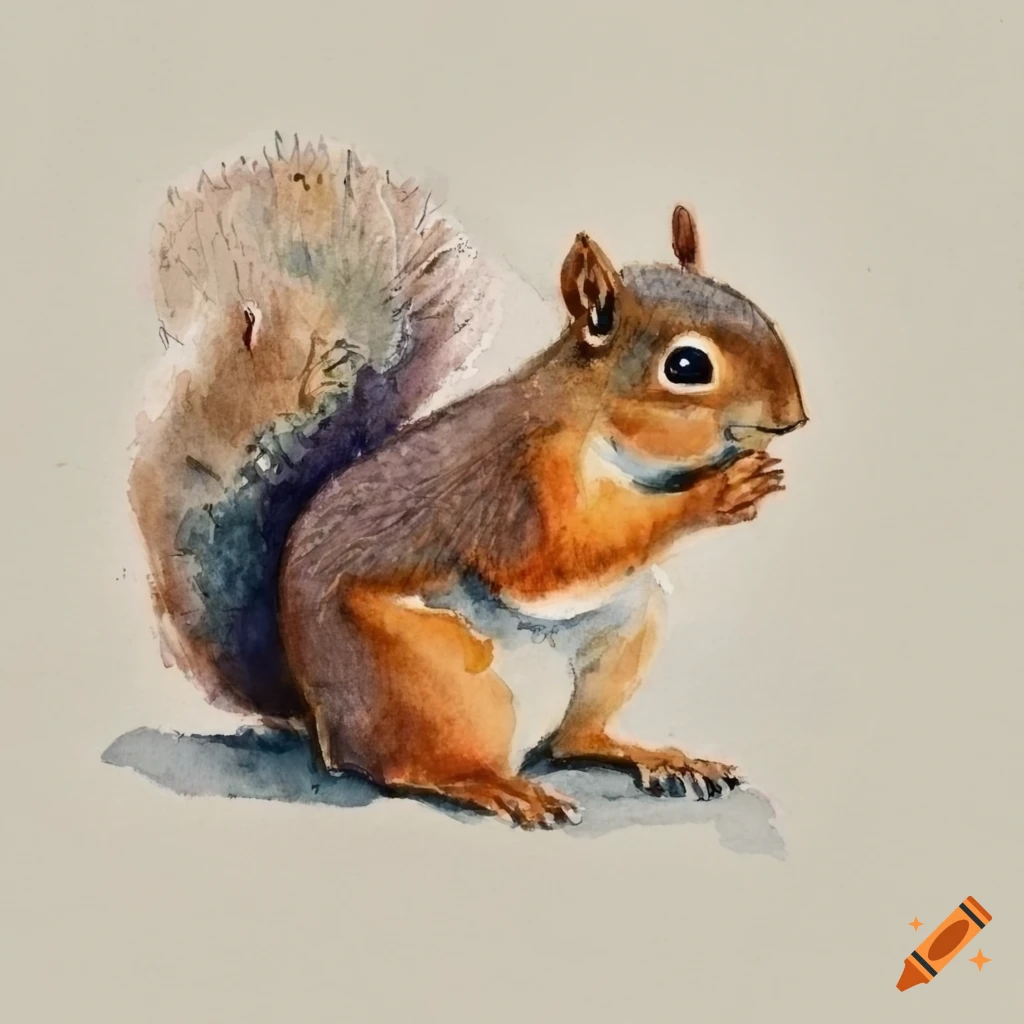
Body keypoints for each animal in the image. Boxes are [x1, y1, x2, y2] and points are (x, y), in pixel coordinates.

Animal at [130, 133, 807, 829]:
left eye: (755, 310)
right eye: (687, 365)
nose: (793, 416)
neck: (602, 437)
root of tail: (323, 722)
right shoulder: (518, 488)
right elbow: (549, 565)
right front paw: (718, 494)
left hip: (625, 622)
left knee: (573, 740)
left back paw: (653, 756)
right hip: (434, 673)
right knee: (415, 769)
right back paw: (498, 788)